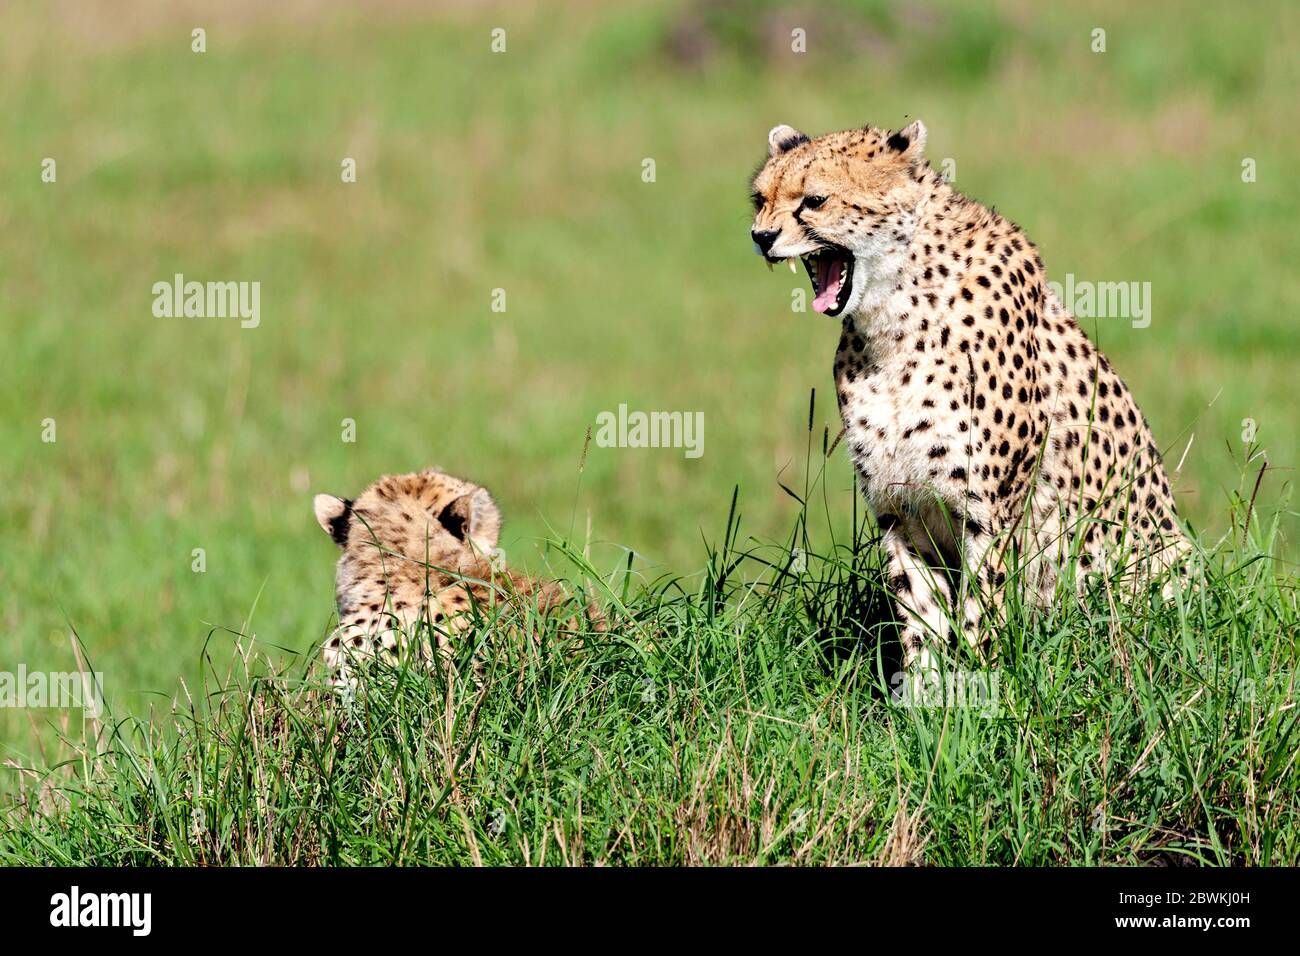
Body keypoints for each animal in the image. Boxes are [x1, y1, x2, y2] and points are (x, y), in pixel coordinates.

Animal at [749, 119, 1191, 677]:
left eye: (815, 200)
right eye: (761, 199)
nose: (761, 237)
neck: (894, 317)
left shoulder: (989, 515)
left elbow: (981, 611)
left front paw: (979, 685)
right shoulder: (902, 509)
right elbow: (919, 616)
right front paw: (923, 693)